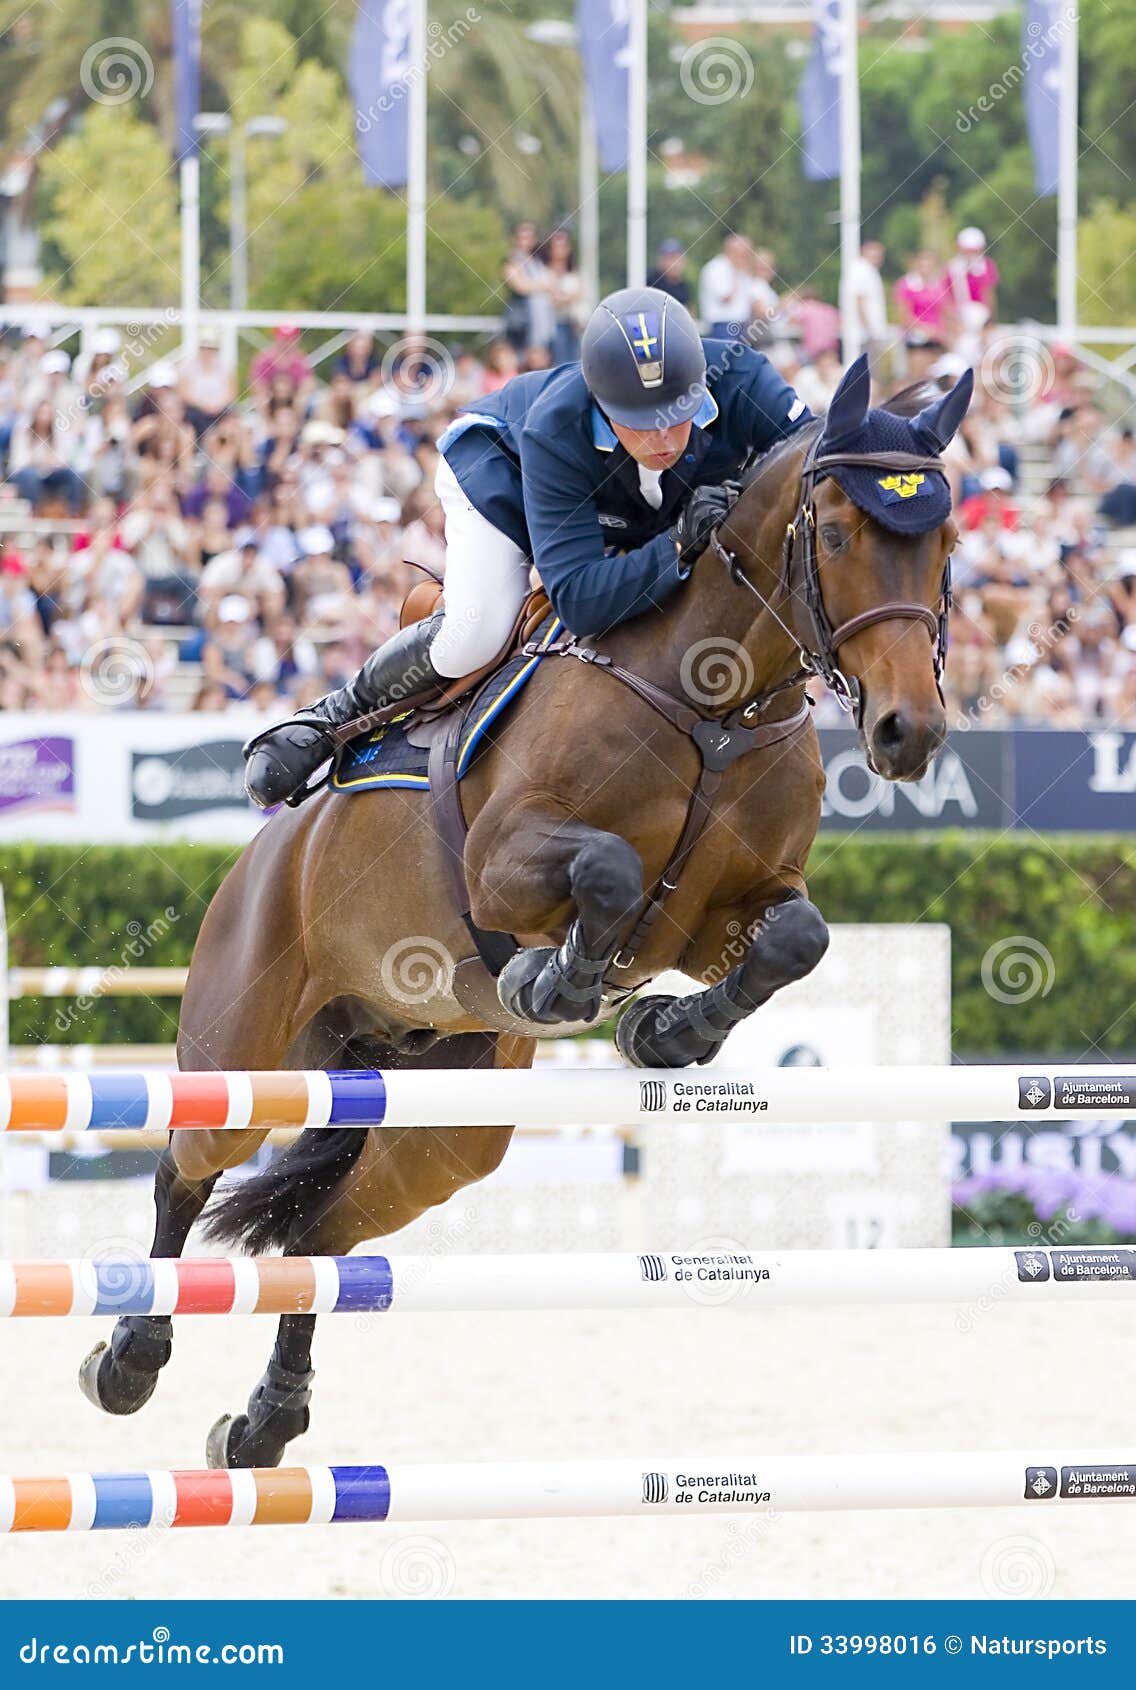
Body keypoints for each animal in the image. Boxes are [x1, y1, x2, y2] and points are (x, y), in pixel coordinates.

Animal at [79, 355, 971, 1468]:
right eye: (840, 534)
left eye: (944, 543)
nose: (906, 733)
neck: (714, 698)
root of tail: (267, 851)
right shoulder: (505, 864)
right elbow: (608, 872)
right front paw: (557, 982)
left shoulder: (732, 910)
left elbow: (794, 941)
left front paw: (664, 1031)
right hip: (248, 1045)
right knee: (184, 1169)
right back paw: (129, 1358)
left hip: (444, 1132)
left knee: (321, 1237)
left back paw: (266, 1422)